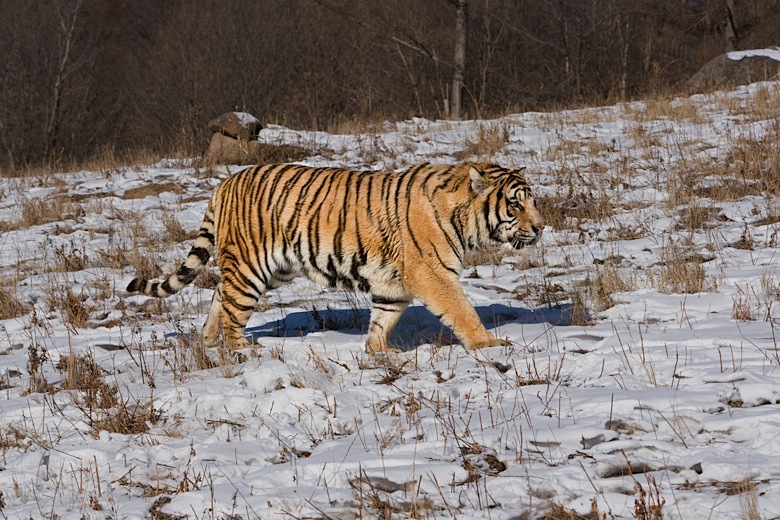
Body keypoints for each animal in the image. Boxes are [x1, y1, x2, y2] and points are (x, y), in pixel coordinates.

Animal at [126, 162, 544, 353]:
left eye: (532, 202)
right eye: (515, 204)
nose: (541, 227)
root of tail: (224, 183)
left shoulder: (393, 281)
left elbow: (384, 317)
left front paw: (379, 352)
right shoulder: (432, 273)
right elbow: (461, 309)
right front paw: (489, 346)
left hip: (275, 268)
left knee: (219, 295)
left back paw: (209, 340)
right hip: (251, 265)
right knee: (232, 307)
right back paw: (241, 348)